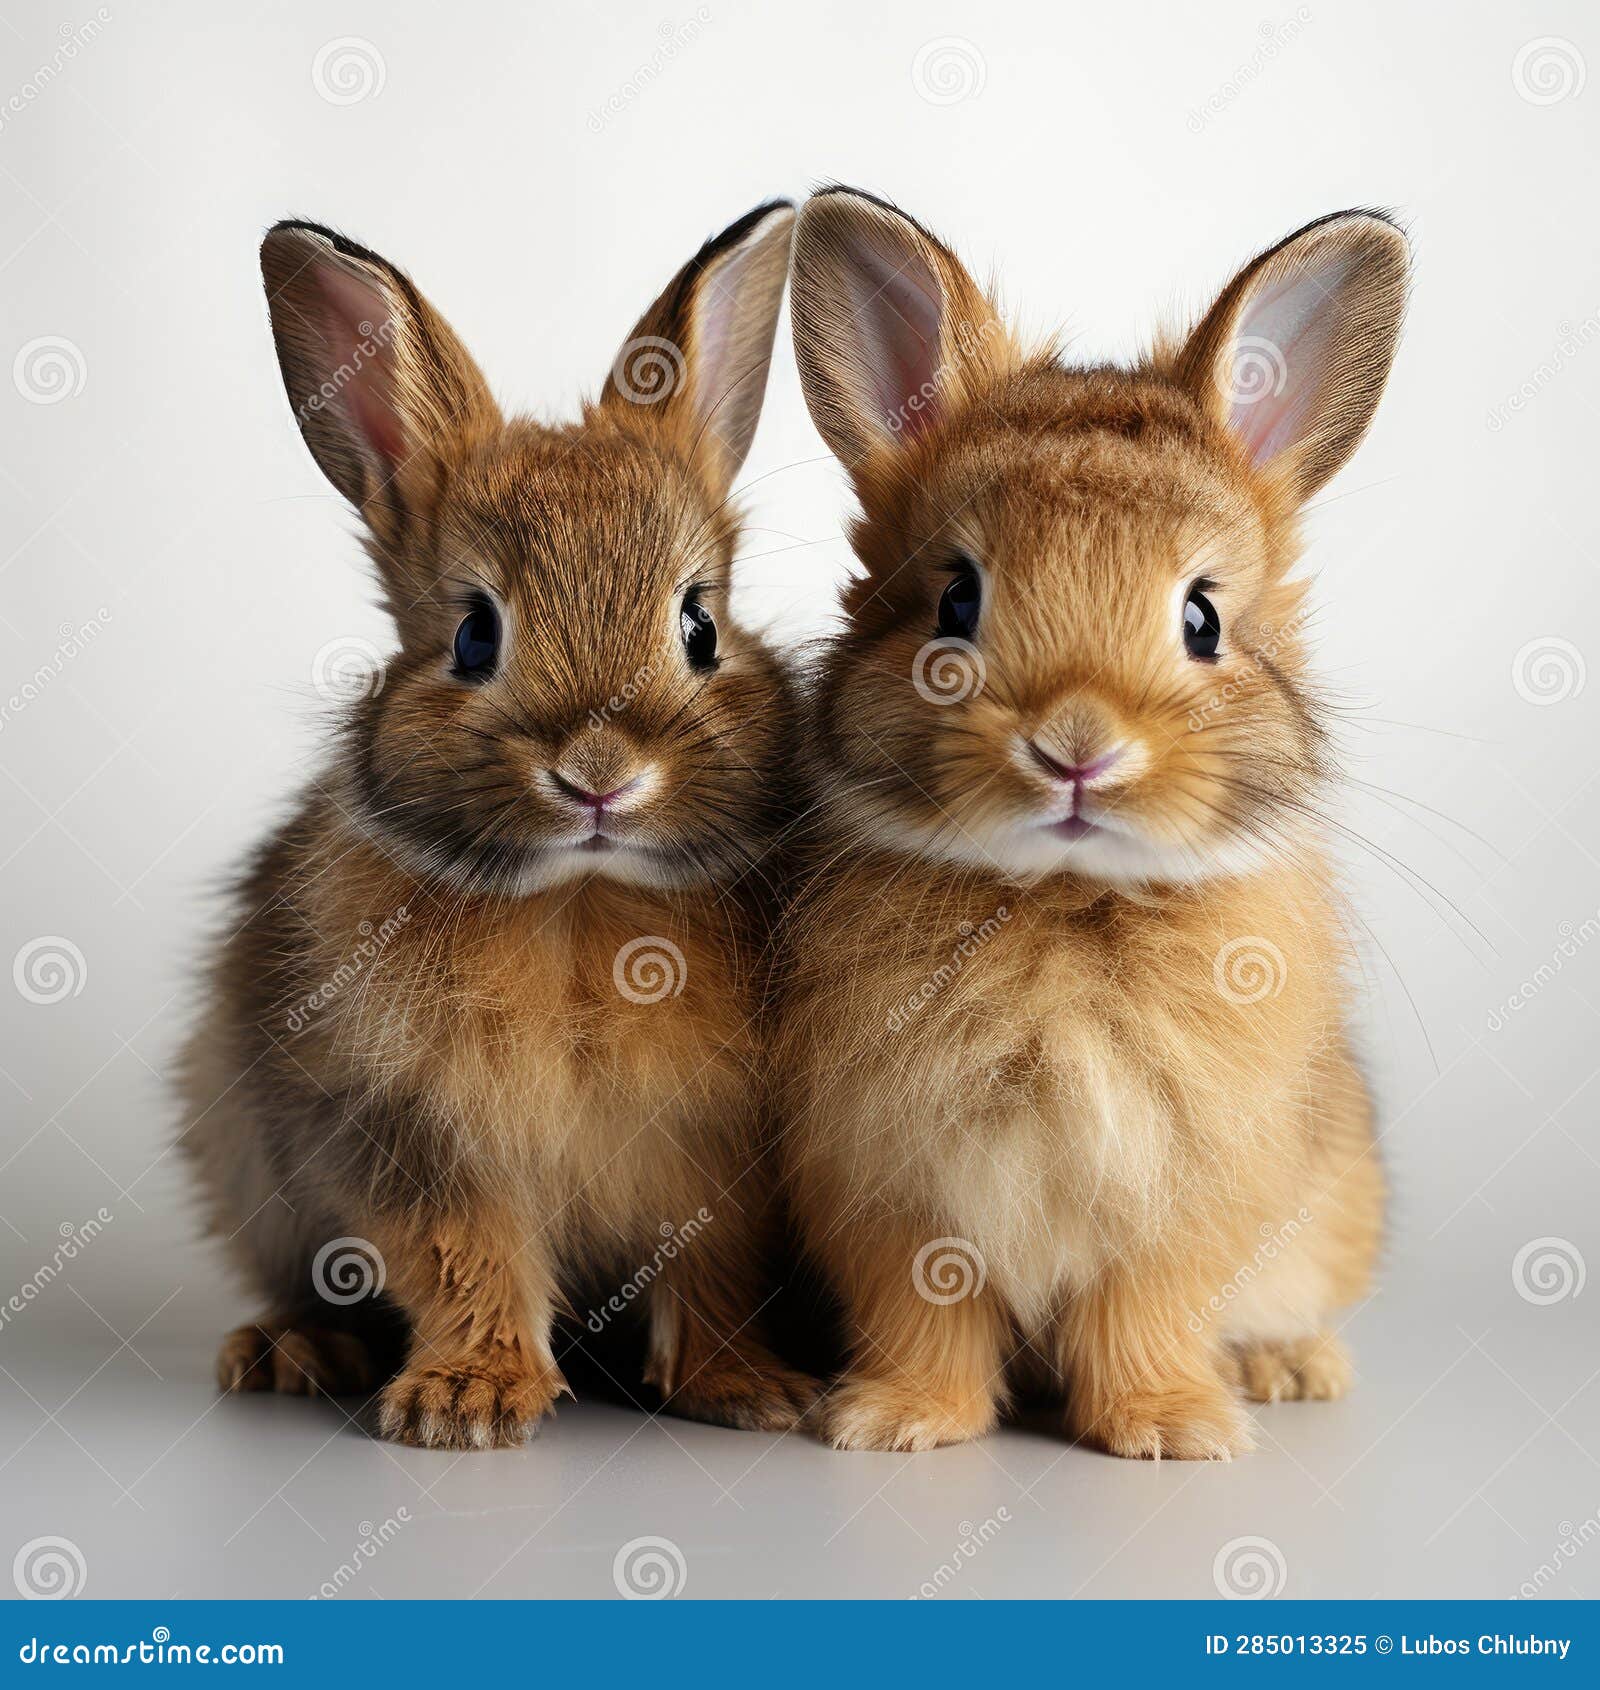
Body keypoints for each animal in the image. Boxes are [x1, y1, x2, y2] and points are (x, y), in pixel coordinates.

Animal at [176, 200, 820, 1448]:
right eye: (476, 634)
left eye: (700, 626)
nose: (598, 776)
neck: (582, 895)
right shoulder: (409, 1133)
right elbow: (466, 1259)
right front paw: (466, 1404)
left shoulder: (719, 1165)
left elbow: (711, 1273)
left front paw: (748, 1391)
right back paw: (291, 1351)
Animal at [776, 187, 1407, 1459]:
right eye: (954, 600)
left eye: (1202, 618)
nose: (1076, 746)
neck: (1064, 900)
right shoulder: (887, 1195)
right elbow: (924, 1313)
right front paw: (896, 1422)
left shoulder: (1180, 1205)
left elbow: (1145, 1312)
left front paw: (1171, 1429)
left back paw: (1288, 1369)